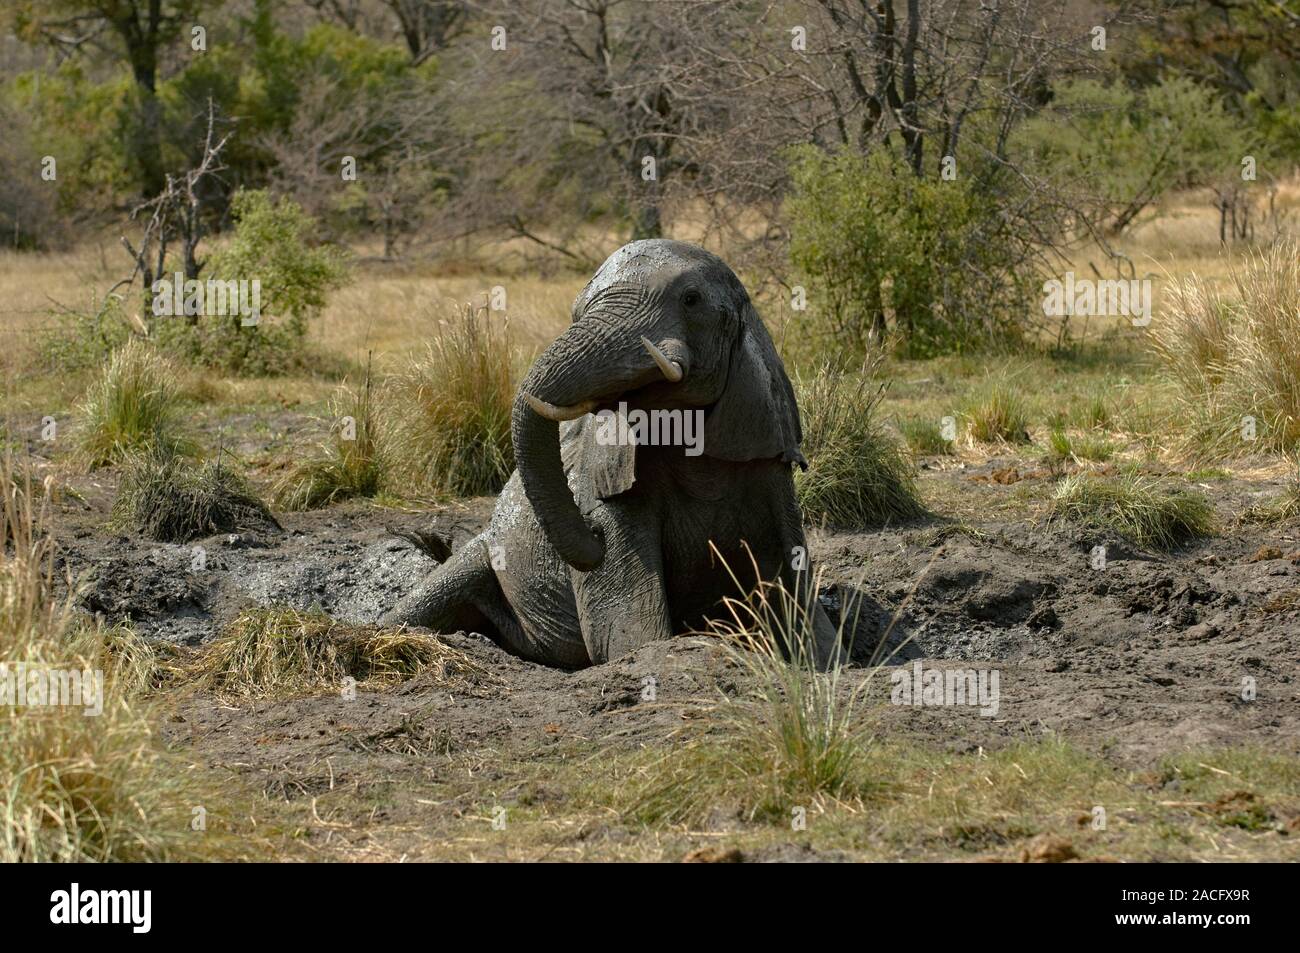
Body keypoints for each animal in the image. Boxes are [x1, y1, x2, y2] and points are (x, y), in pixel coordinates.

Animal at [381, 239, 843, 669]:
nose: (592, 529)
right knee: (422, 602)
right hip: (481, 554)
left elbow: (806, 616)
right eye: (576, 311)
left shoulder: (770, 469)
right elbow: (631, 634)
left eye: (691, 299)